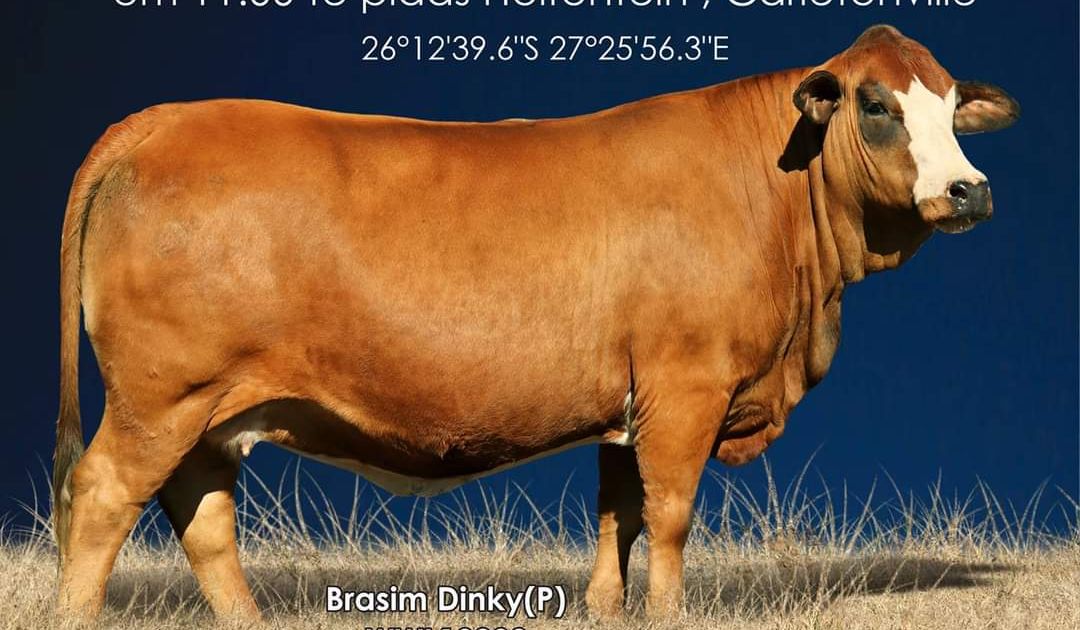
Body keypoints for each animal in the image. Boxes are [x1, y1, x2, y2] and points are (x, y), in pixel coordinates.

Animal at [52, 25, 1018, 621]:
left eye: (951, 107)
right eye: (877, 104)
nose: (969, 190)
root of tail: (162, 120)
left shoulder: (630, 402)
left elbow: (618, 516)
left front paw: (606, 610)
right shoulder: (686, 384)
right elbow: (669, 514)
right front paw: (669, 613)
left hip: (209, 410)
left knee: (202, 514)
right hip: (160, 396)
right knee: (101, 498)